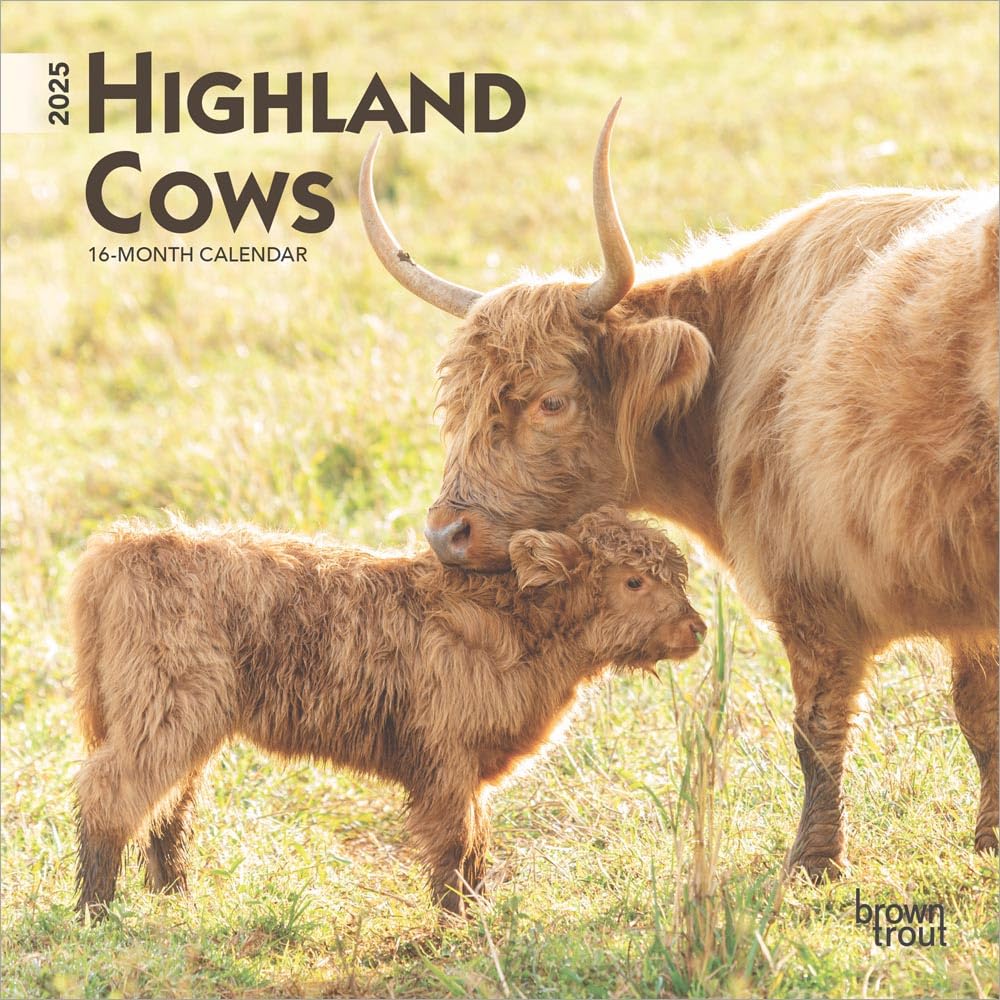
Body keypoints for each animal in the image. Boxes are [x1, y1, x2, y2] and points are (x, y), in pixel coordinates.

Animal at [359, 101, 999, 879]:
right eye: (459, 403)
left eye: (551, 402)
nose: (447, 533)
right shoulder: (967, 598)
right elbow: (982, 714)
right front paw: (991, 839)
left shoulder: (811, 590)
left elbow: (817, 732)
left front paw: (812, 865)